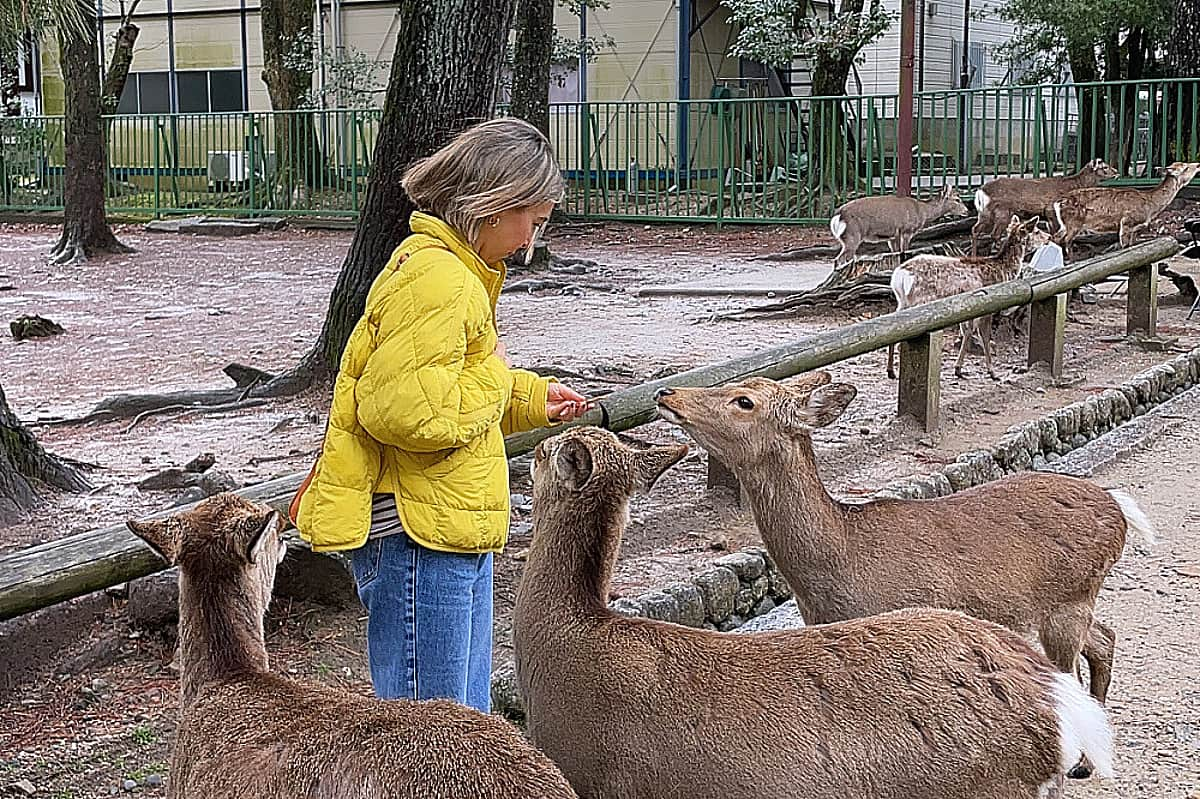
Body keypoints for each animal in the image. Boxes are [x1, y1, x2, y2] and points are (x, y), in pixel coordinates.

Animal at [657, 374, 1152, 777]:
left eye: (744, 401)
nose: (667, 393)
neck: (840, 564)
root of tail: (1121, 509)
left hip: (1068, 600)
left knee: (1074, 670)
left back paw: (1078, 761)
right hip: (1070, 602)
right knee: (1105, 637)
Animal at [830, 182, 969, 267]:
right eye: (957, 199)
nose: (967, 211)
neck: (922, 212)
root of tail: (838, 216)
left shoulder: (893, 236)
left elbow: (895, 253)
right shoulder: (906, 230)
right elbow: (904, 252)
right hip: (852, 236)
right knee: (839, 259)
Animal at [1051, 160, 1200, 260]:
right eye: (1186, 167)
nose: (1198, 164)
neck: (1150, 207)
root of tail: (1057, 203)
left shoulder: (1135, 228)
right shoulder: (1127, 222)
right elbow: (1124, 247)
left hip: (1065, 224)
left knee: (1055, 237)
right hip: (1074, 223)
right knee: (1066, 241)